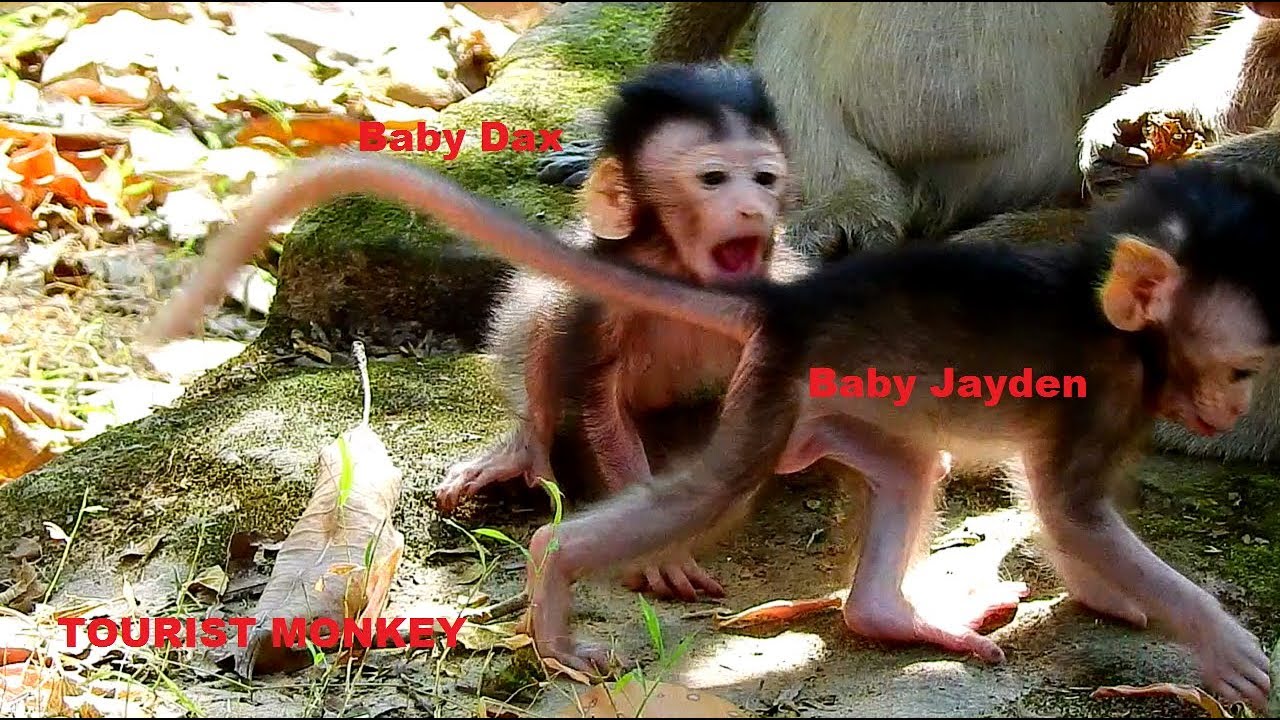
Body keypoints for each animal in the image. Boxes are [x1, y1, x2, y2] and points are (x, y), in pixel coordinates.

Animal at [144, 133, 1278, 712]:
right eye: (1235, 367)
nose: (1229, 406)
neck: (1130, 339)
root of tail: (792, 297)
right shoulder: (1103, 393)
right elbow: (1070, 511)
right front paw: (1216, 643)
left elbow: (1064, 522)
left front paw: (1113, 601)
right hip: (773, 388)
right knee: (712, 489)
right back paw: (555, 579)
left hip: (820, 400)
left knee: (906, 473)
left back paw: (887, 616)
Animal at [433, 62, 814, 602]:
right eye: (714, 179)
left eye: (765, 179)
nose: (753, 209)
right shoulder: (605, 292)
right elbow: (599, 392)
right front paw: (653, 550)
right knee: (547, 314)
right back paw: (523, 448)